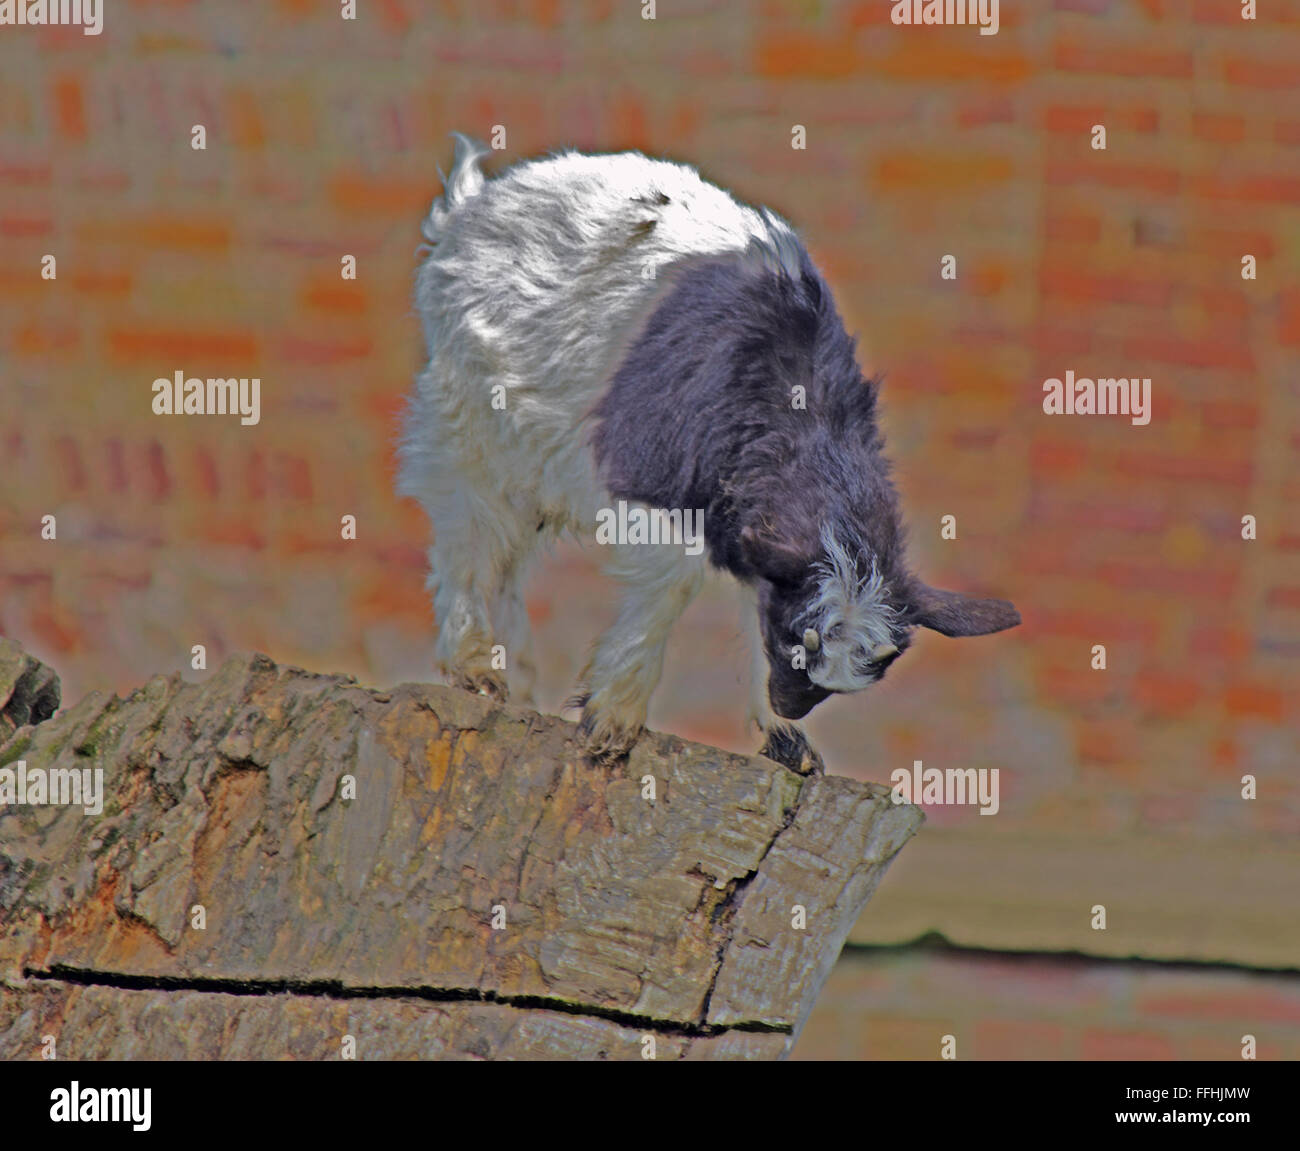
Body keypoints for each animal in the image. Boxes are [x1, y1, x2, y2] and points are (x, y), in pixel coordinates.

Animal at [396, 135, 1021, 772]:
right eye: (796, 640)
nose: (791, 703)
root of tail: (473, 203)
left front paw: (785, 741)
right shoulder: (646, 484)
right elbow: (675, 580)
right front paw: (612, 718)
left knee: (507, 558)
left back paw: (515, 678)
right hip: (469, 423)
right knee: (469, 534)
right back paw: (475, 666)